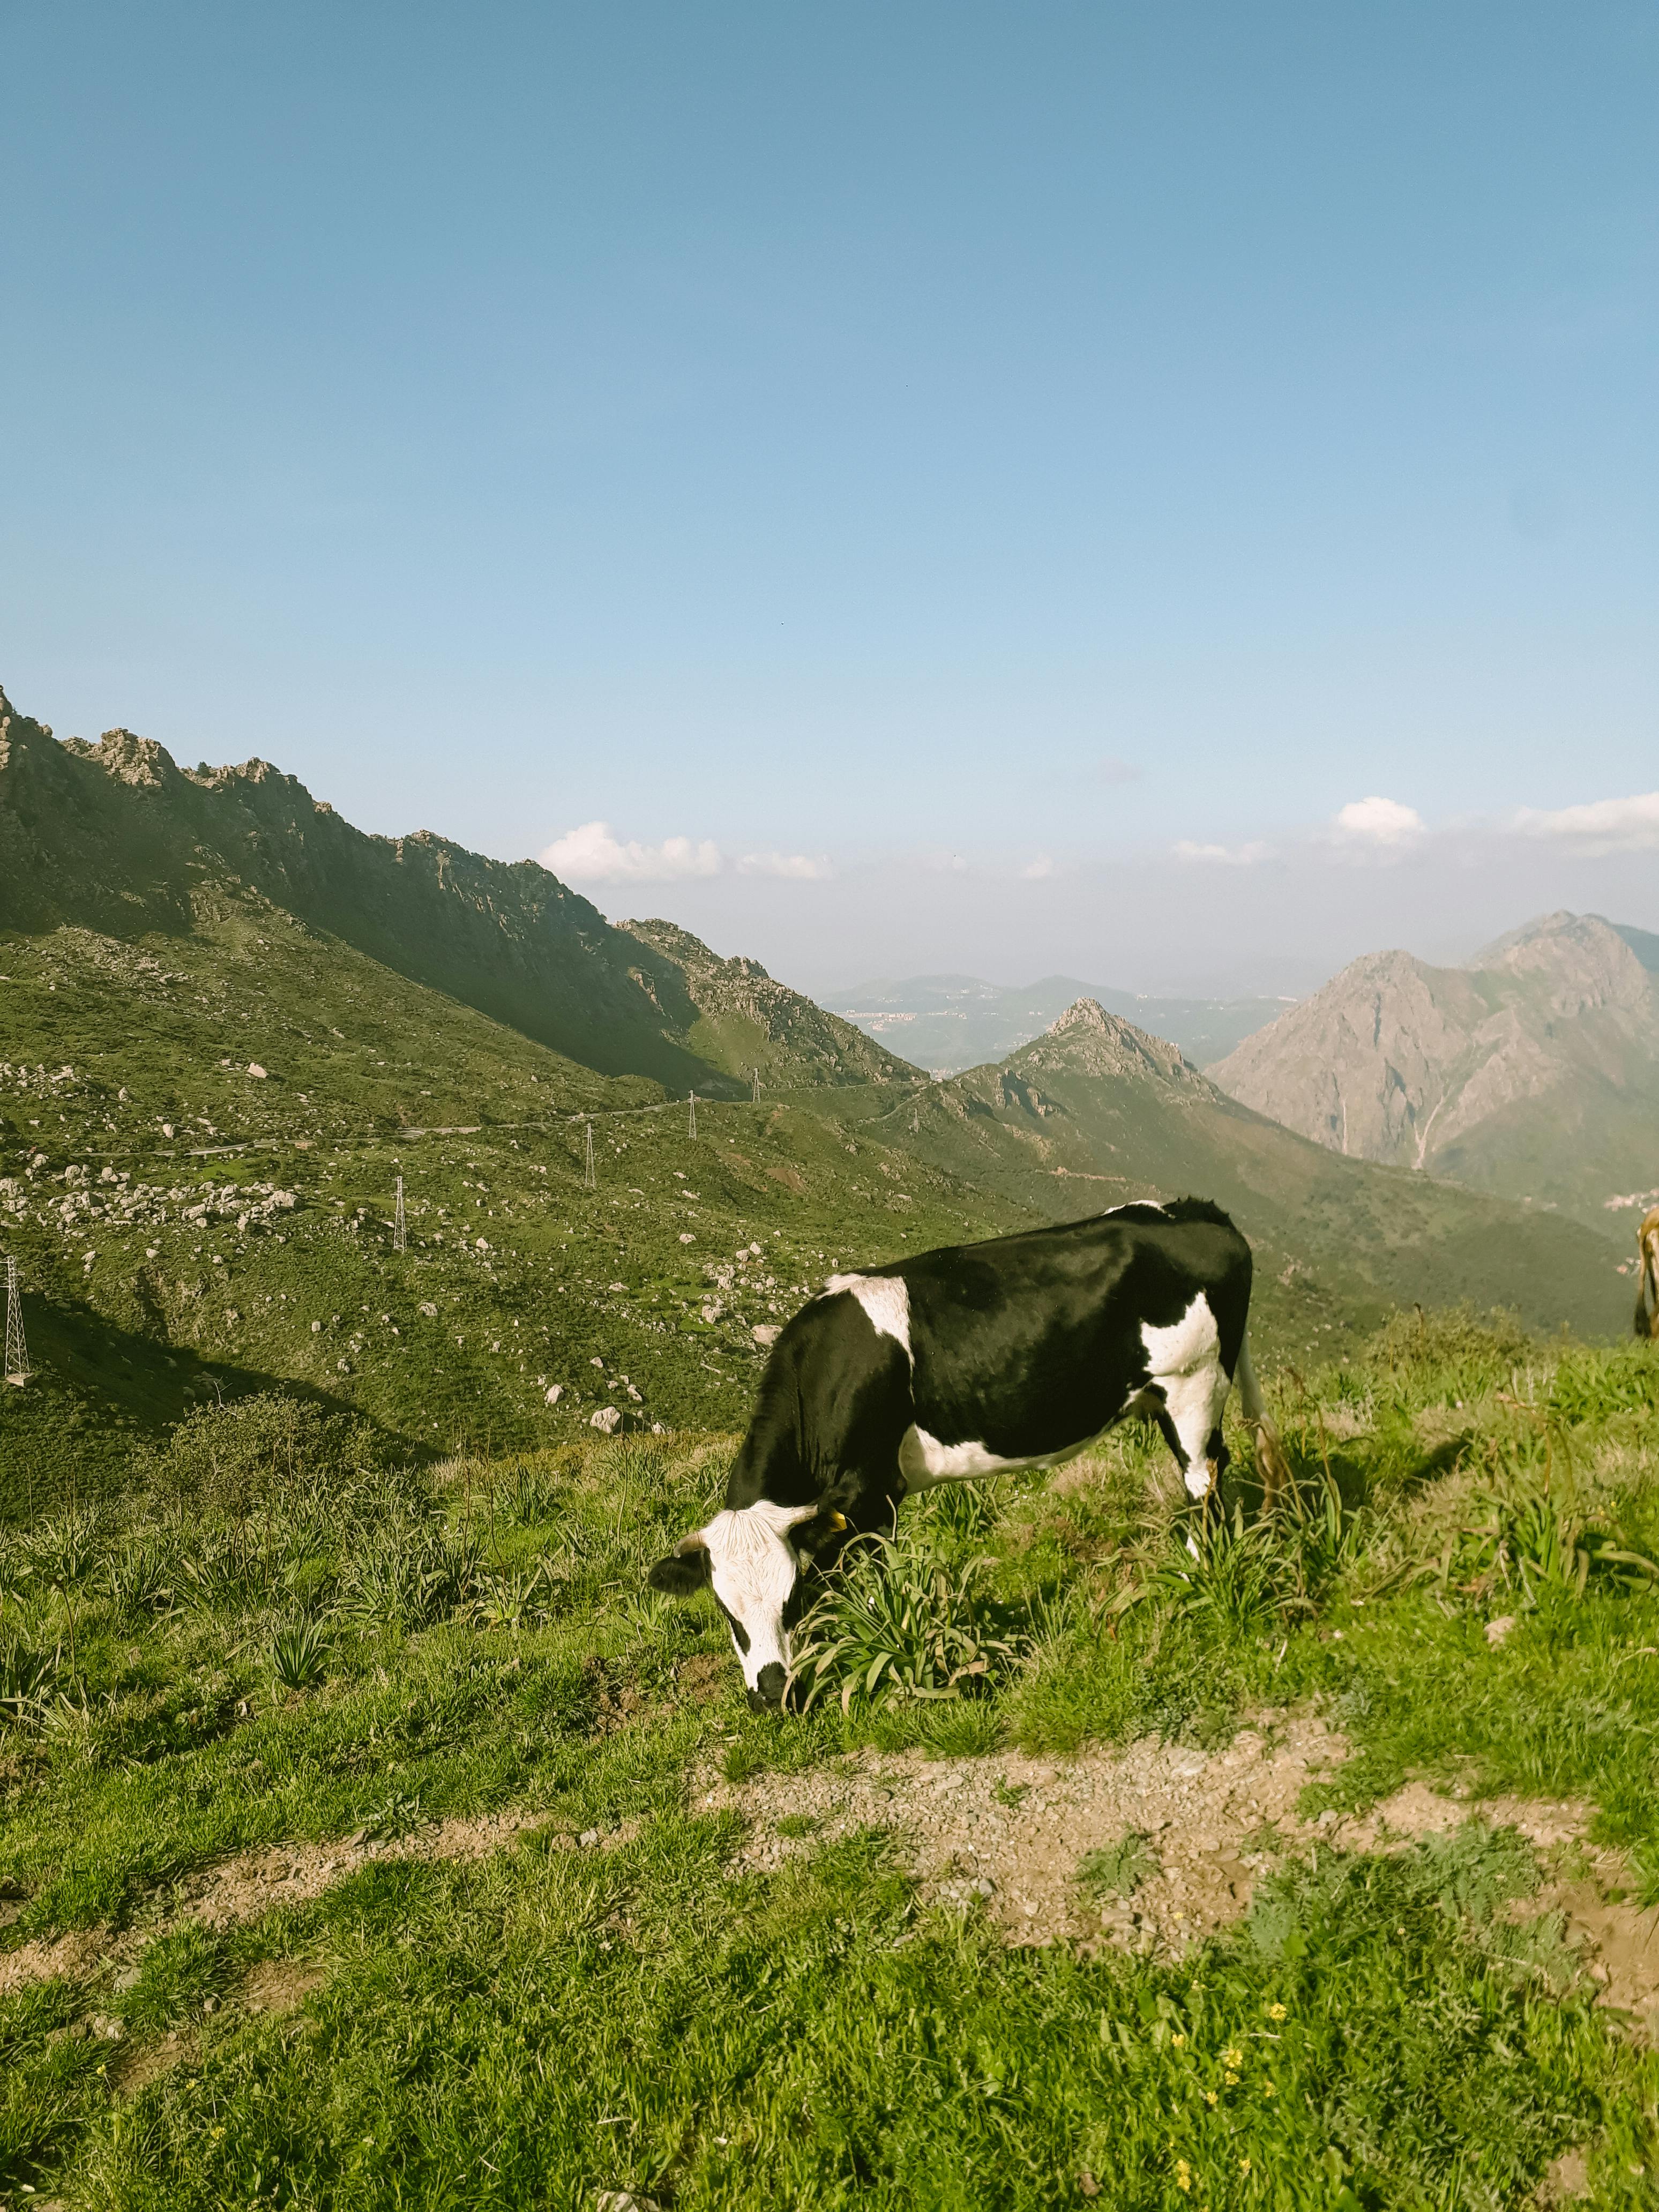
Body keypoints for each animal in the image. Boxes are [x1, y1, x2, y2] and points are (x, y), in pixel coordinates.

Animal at [646, 1198, 1290, 1711]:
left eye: (790, 1600)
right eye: (726, 1613)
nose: (772, 1696)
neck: (828, 1374)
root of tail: (1196, 1210)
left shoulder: (871, 1493)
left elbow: (872, 1582)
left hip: (1193, 1385)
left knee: (1202, 1481)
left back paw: (1199, 1576)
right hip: (1167, 1395)